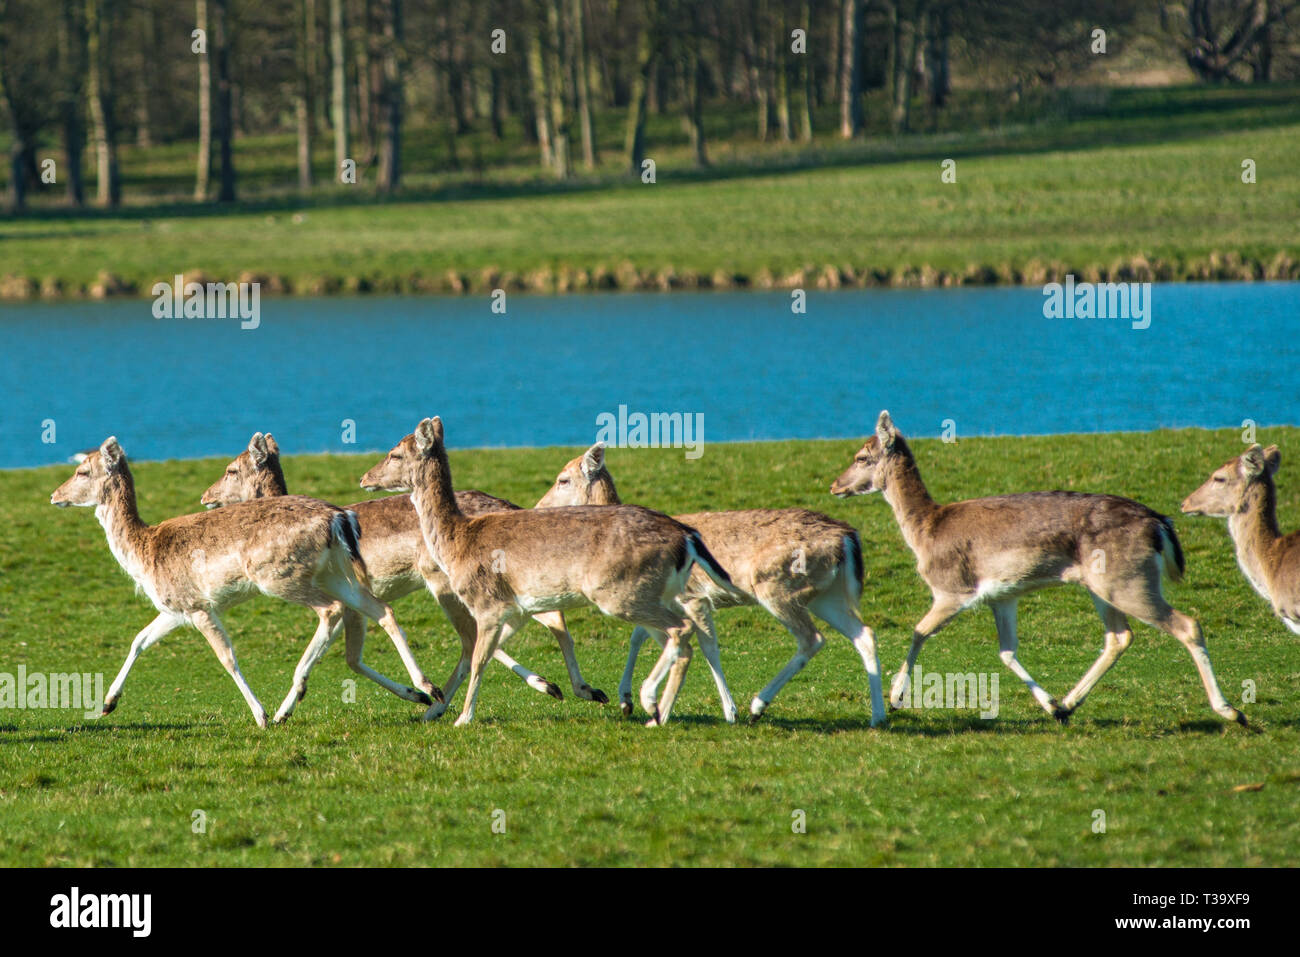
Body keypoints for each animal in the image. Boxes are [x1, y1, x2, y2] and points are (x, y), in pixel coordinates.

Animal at [50, 436, 441, 727]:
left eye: (82, 471)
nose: (54, 495)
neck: (143, 553)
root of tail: (340, 517)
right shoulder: (176, 607)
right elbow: (139, 640)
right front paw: (107, 704)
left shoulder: (198, 606)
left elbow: (227, 657)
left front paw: (260, 715)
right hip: (335, 572)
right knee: (380, 609)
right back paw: (425, 690)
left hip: (280, 575)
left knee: (331, 610)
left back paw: (289, 705)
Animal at [200, 432, 607, 713]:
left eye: (231, 469)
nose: (206, 496)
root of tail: (510, 505)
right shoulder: (354, 604)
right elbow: (351, 658)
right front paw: (420, 695)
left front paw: (281, 712)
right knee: (546, 617)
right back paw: (576, 688)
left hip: (450, 582)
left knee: (537, 619)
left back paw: (572, 688)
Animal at [360, 417, 738, 726]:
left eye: (394, 453)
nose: (364, 477)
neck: (458, 541)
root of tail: (686, 536)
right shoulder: (515, 609)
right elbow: (479, 653)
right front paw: (436, 708)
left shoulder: (489, 603)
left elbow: (478, 656)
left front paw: (461, 717)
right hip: (657, 594)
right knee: (683, 636)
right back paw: (660, 712)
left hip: (620, 593)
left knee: (682, 629)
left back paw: (652, 704)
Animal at [536, 442, 885, 727]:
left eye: (563, 479)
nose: (539, 507)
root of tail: (847, 536)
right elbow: (640, 636)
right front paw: (626, 701)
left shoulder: (693, 597)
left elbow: (706, 647)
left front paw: (723, 711)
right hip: (827, 594)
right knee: (864, 634)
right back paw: (879, 715)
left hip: (778, 588)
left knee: (812, 638)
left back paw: (758, 706)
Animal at [830, 411, 1247, 728]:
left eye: (862, 456)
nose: (835, 485)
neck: (925, 530)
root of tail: (1160, 523)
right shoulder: (1003, 596)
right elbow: (1006, 652)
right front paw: (1050, 705)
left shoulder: (953, 589)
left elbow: (918, 631)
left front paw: (897, 696)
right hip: (1105, 585)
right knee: (1120, 636)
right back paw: (1069, 704)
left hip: (1129, 581)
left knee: (1187, 624)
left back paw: (1231, 711)